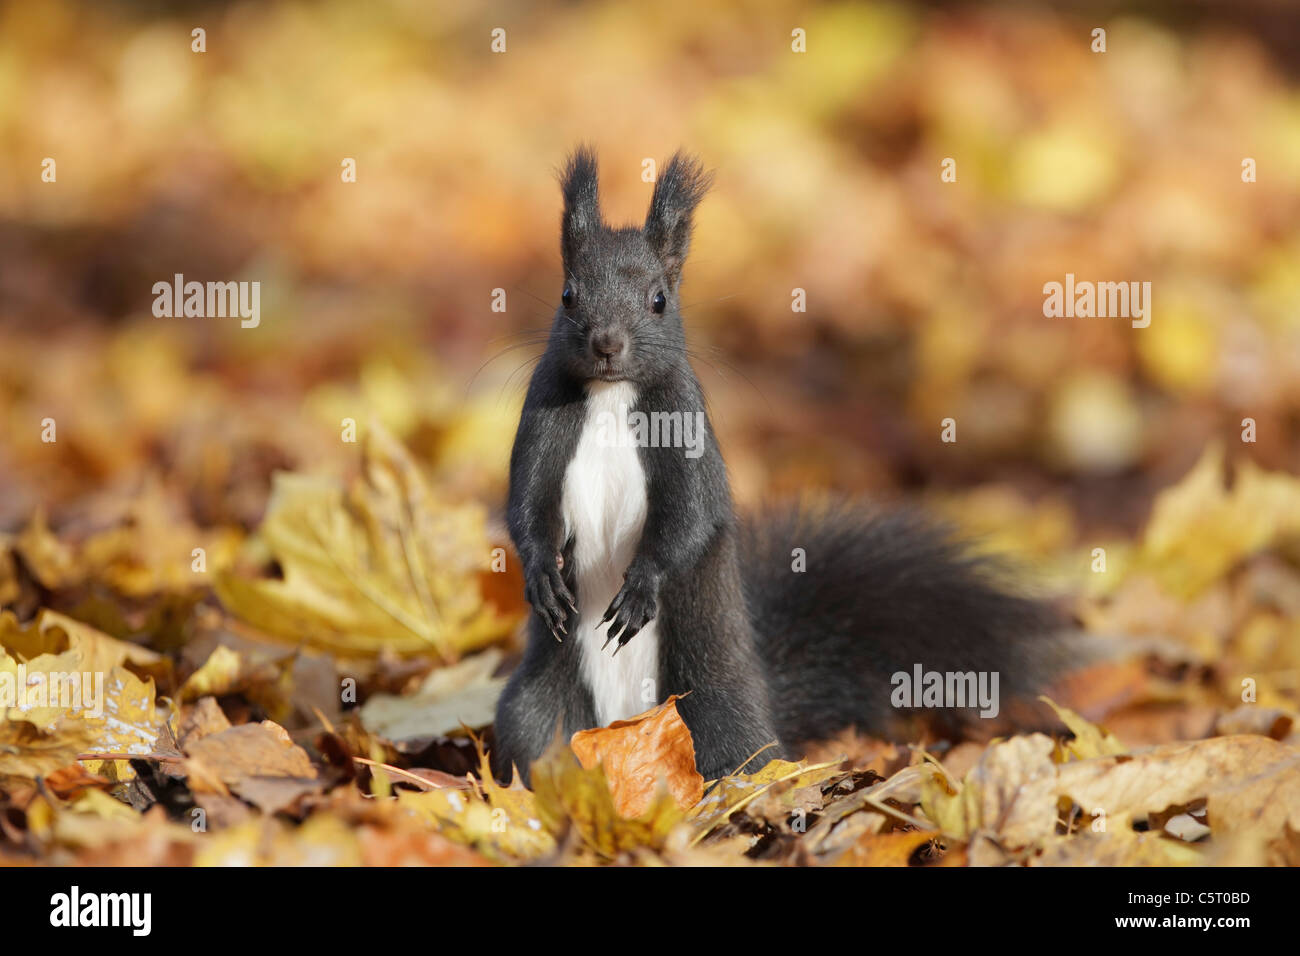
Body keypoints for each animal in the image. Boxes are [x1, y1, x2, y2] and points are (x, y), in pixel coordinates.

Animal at [491, 146, 1066, 784]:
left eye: (660, 299)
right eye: (568, 294)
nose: (607, 344)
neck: (610, 395)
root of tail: (623, 732)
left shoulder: (685, 432)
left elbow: (690, 520)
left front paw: (641, 588)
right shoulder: (542, 423)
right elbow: (526, 507)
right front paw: (543, 577)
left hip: (714, 713)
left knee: (738, 760)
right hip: (536, 713)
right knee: (536, 746)